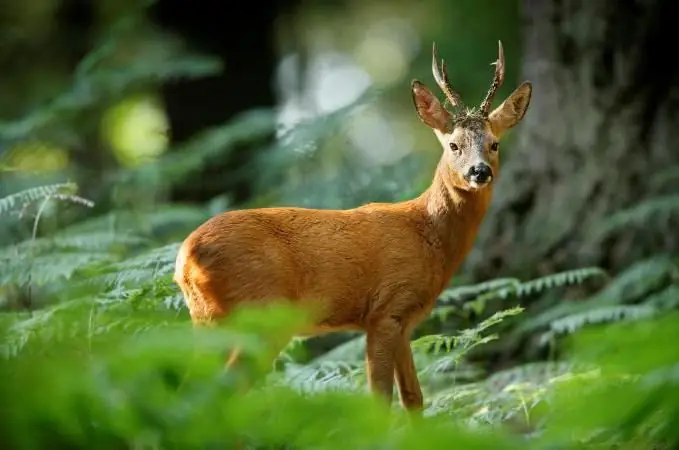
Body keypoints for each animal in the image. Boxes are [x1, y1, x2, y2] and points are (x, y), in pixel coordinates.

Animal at [174, 40, 532, 414]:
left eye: (494, 143)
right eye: (453, 145)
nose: (479, 171)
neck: (427, 234)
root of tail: (185, 258)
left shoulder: (403, 321)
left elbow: (413, 398)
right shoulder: (386, 309)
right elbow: (380, 399)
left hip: (207, 318)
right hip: (259, 313)